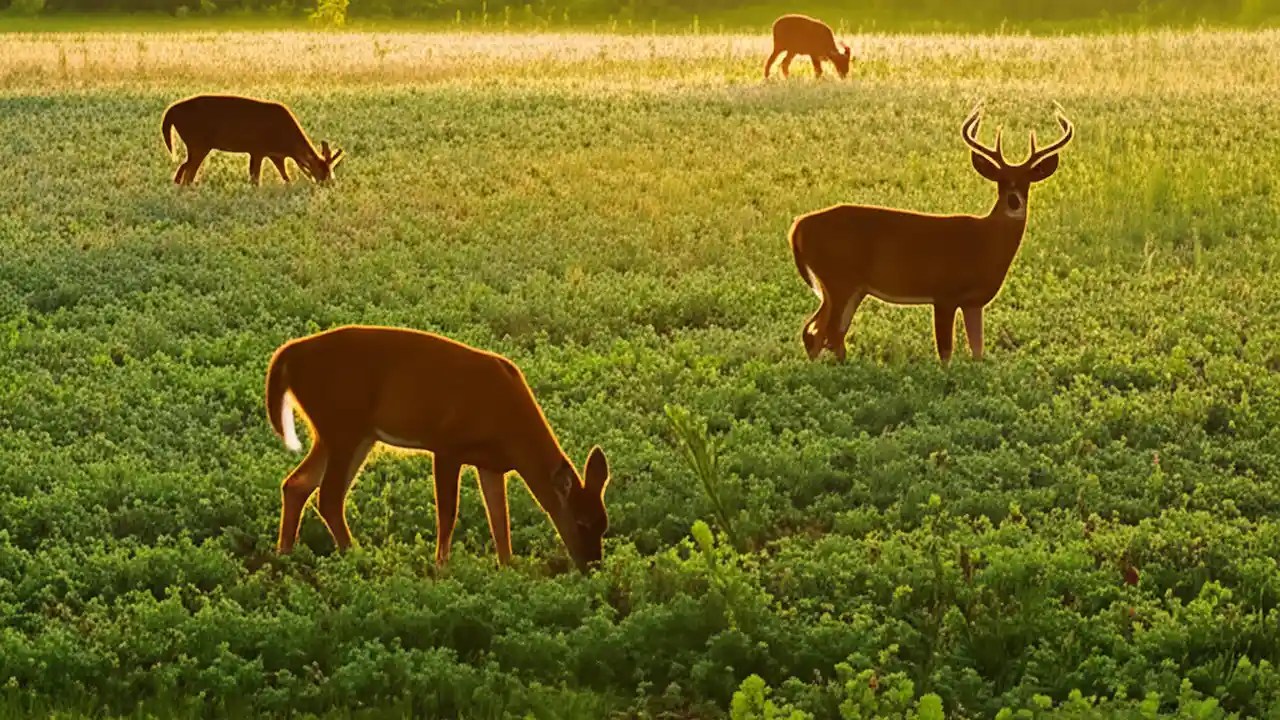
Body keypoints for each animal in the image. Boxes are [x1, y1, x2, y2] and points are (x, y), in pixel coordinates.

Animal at [161, 94, 344, 186]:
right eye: (323, 172)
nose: (331, 183)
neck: (288, 143)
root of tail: (170, 113)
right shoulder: (258, 148)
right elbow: (255, 177)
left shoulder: (274, 154)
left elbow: (284, 175)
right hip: (198, 141)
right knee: (188, 172)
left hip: (196, 143)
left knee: (183, 168)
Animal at [264, 325, 611, 573]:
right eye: (581, 522)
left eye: (604, 524)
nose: (593, 567)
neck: (509, 425)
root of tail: (288, 355)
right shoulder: (447, 445)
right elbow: (448, 511)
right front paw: (442, 567)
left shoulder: (491, 463)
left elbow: (499, 518)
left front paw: (507, 567)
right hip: (343, 425)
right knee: (329, 496)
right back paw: (358, 558)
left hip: (348, 433)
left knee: (297, 484)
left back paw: (285, 556)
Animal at [789, 104, 1074, 363]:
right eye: (1000, 181)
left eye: (1027, 181)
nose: (1014, 202)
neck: (985, 242)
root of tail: (797, 227)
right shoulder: (944, 293)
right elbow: (945, 351)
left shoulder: (974, 302)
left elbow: (977, 350)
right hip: (838, 279)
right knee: (822, 332)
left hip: (846, 286)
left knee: (822, 332)